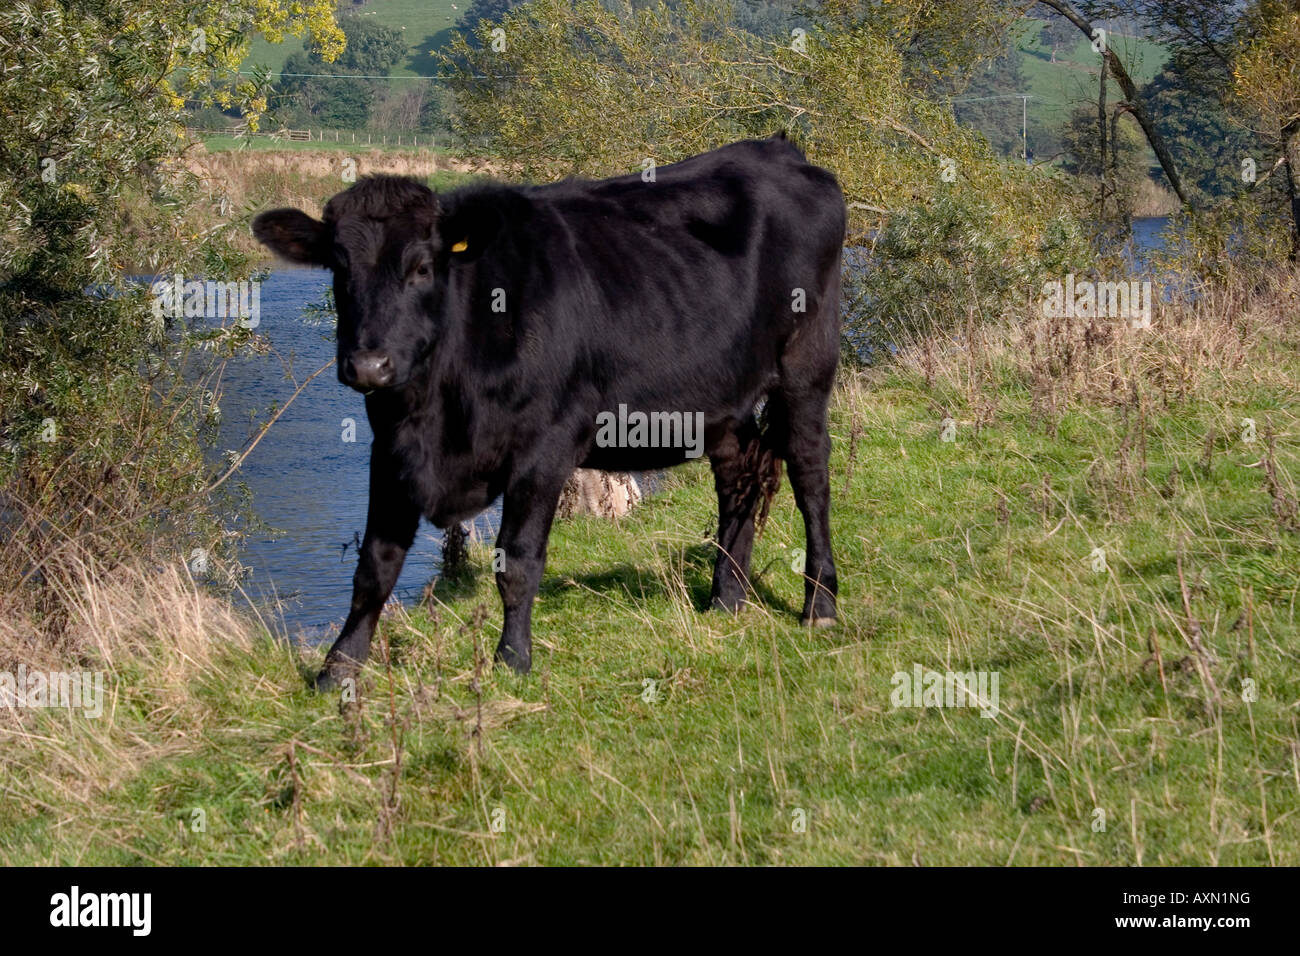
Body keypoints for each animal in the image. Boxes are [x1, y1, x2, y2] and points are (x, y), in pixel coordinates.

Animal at [252, 133, 844, 690]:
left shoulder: (545, 445)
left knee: (810, 473)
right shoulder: (391, 448)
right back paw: (725, 599)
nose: (369, 366)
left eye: (421, 268)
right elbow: (374, 565)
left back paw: (820, 605)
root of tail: (778, 151)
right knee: (738, 473)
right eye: (338, 269)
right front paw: (338, 668)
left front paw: (512, 658)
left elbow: (517, 560)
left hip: (807, 362)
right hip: (718, 396)